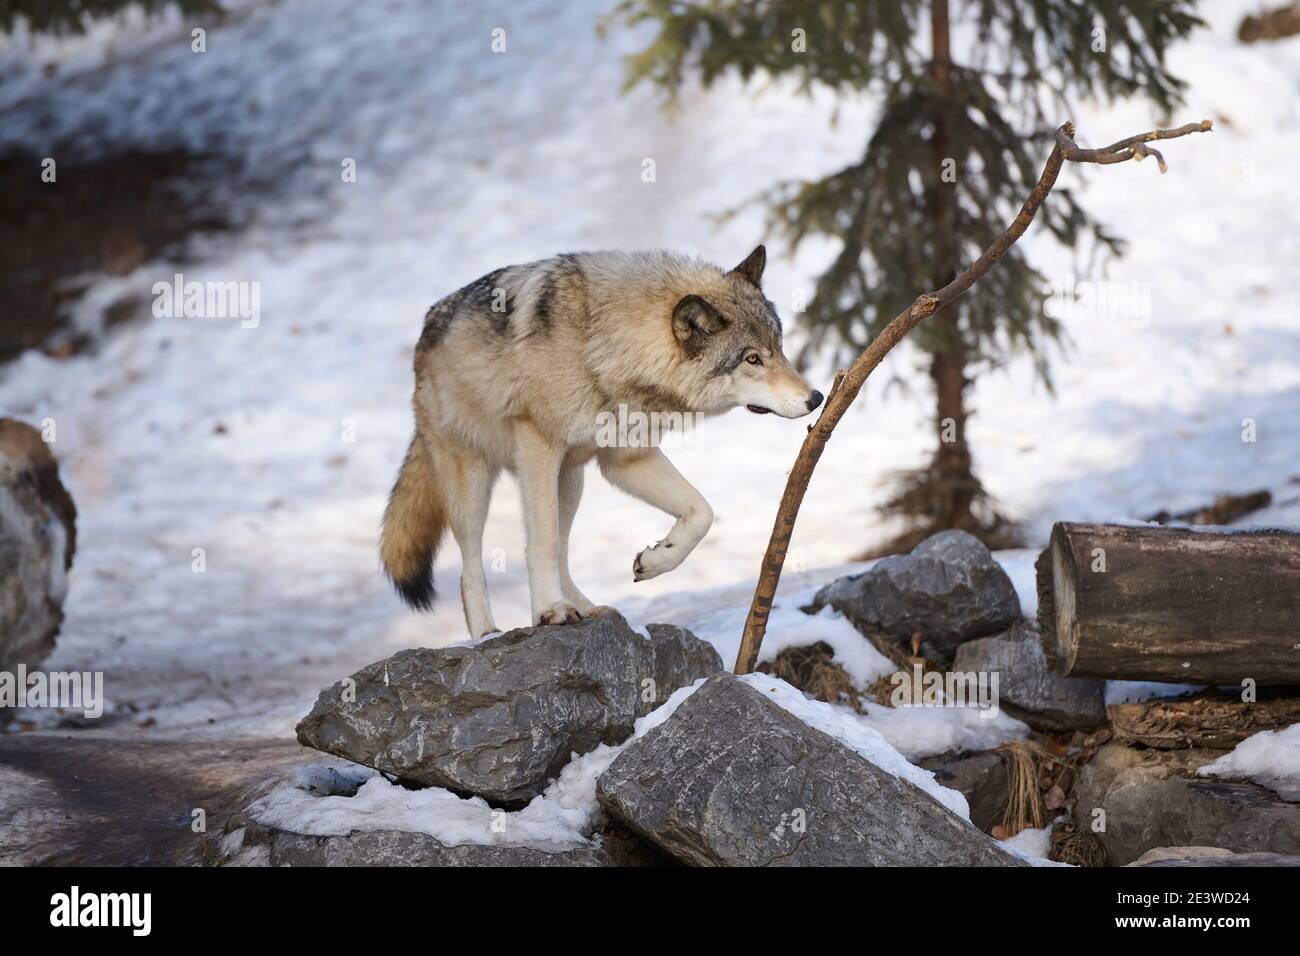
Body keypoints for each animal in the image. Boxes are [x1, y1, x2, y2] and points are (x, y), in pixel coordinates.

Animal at [380, 245, 823, 637]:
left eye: (779, 348)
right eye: (752, 359)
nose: (816, 398)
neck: (600, 345)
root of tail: (426, 329)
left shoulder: (626, 459)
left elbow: (702, 512)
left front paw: (657, 559)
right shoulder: (539, 445)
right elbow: (540, 544)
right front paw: (550, 611)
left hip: (570, 479)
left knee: (562, 552)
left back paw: (589, 609)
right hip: (473, 484)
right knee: (472, 566)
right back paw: (489, 631)